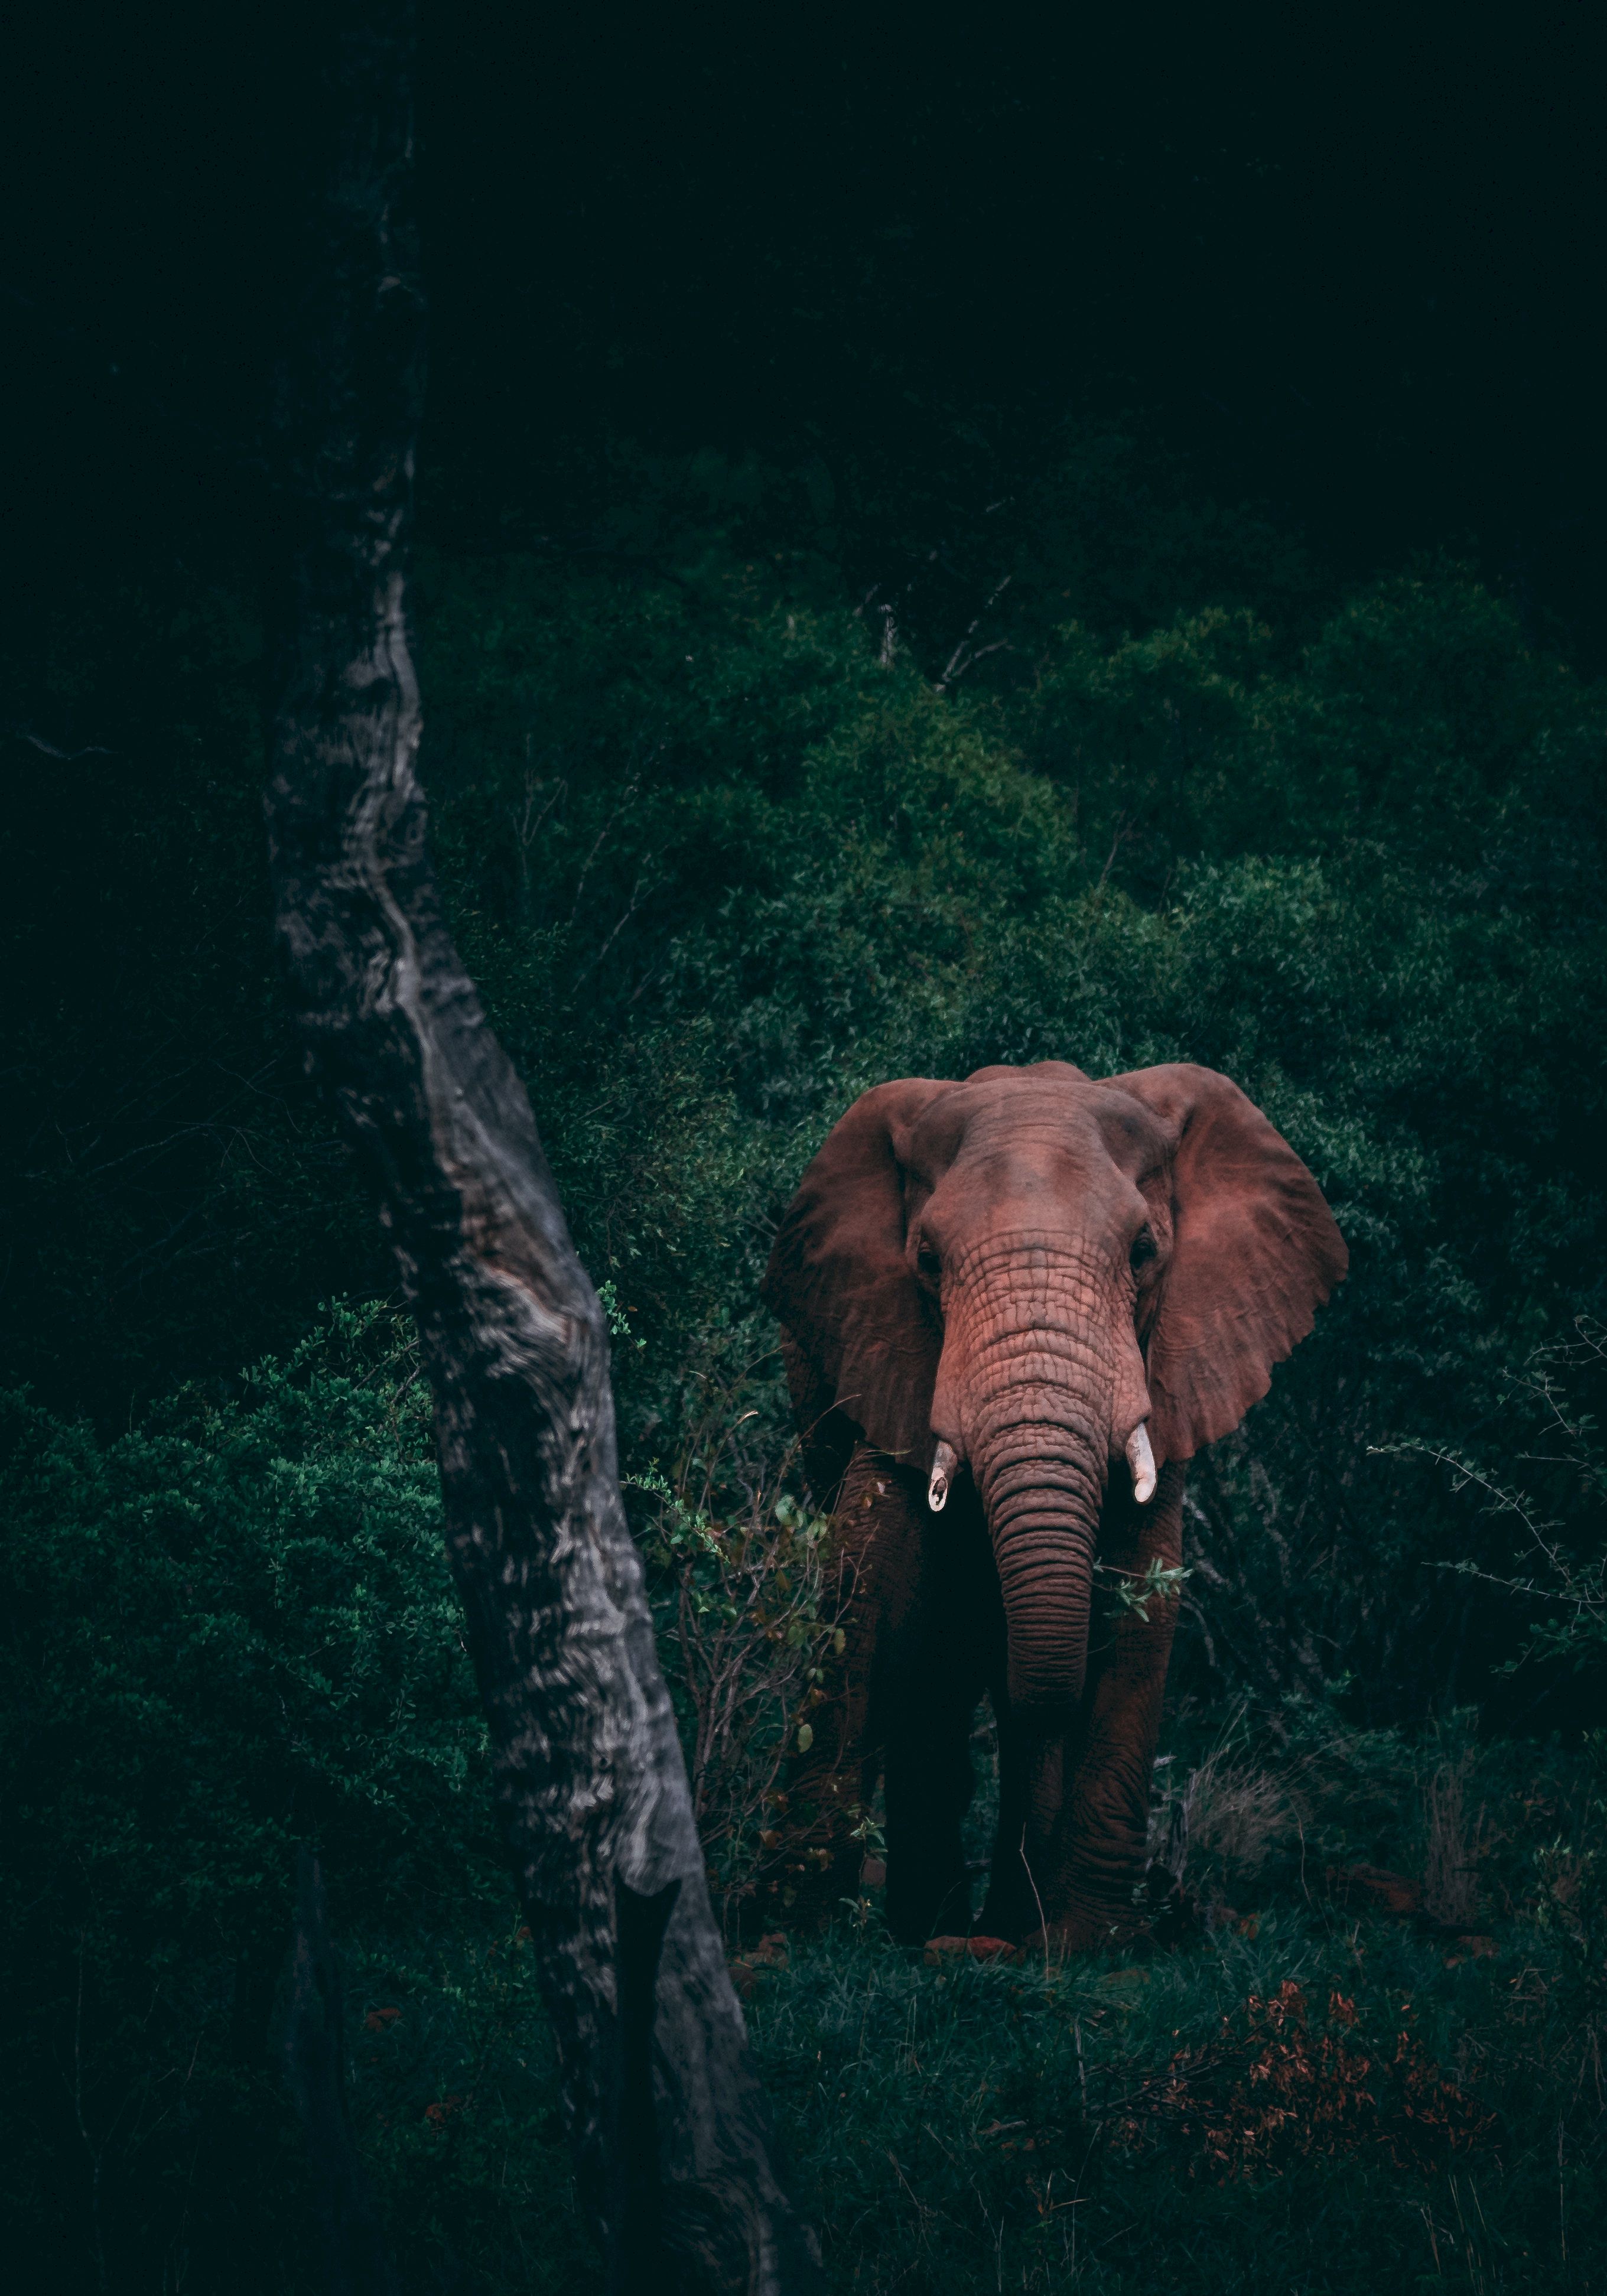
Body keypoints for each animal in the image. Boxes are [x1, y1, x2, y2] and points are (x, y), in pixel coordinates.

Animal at [762, 1059, 1346, 1951]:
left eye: (1143, 1252)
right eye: (925, 1257)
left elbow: (1143, 1598)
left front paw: (1089, 1942)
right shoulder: (884, 1349)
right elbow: (872, 1586)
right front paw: (794, 1920)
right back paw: (937, 1921)